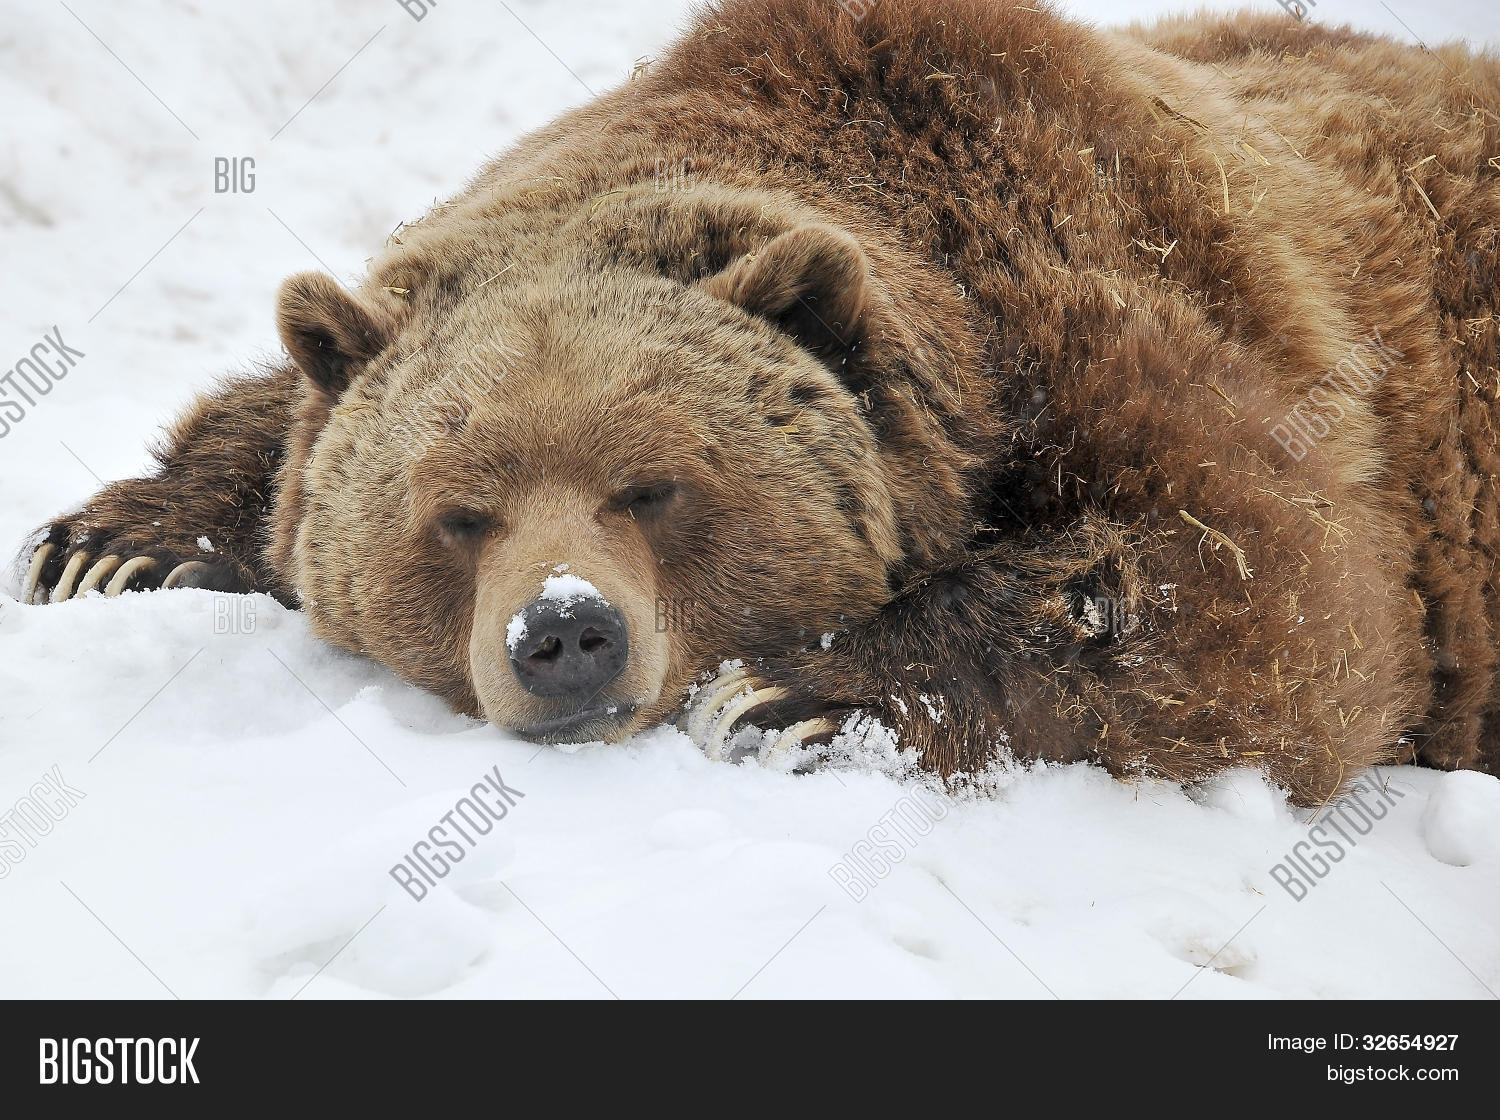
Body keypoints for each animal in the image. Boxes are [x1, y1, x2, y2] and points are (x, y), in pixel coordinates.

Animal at [16, 0, 1500, 805]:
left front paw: (790, 688)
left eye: (653, 487)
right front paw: (108, 545)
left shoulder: (1141, 316)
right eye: (460, 512)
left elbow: (1270, 599)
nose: (567, 635)